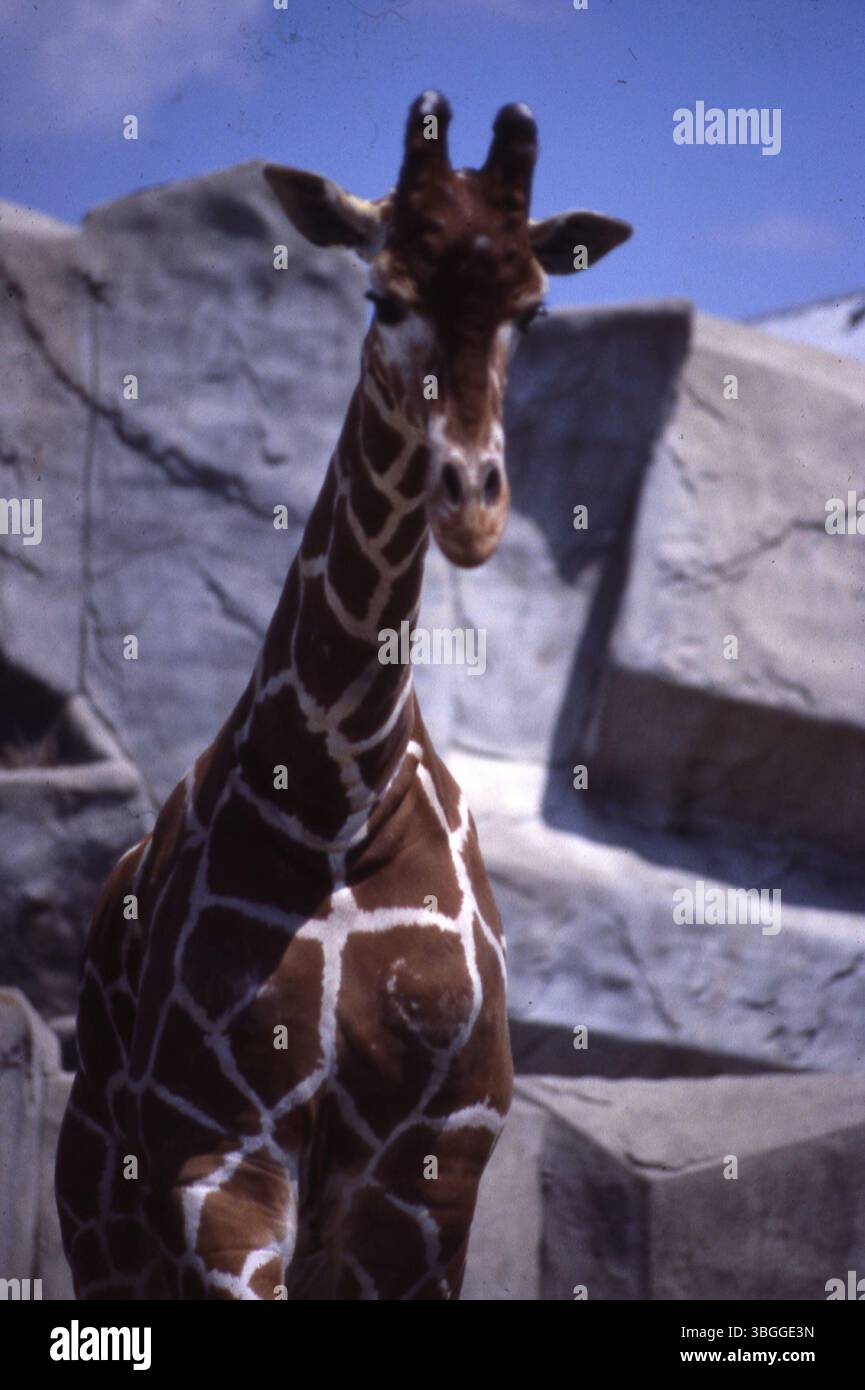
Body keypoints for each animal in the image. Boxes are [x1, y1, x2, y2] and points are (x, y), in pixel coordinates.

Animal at [55, 92, 631, 1301]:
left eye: (534, 310)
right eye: (384, 293)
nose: (472, 506)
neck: (333, 793)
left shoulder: (424, 1180)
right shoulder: (216, 1158)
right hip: (99, 1205)